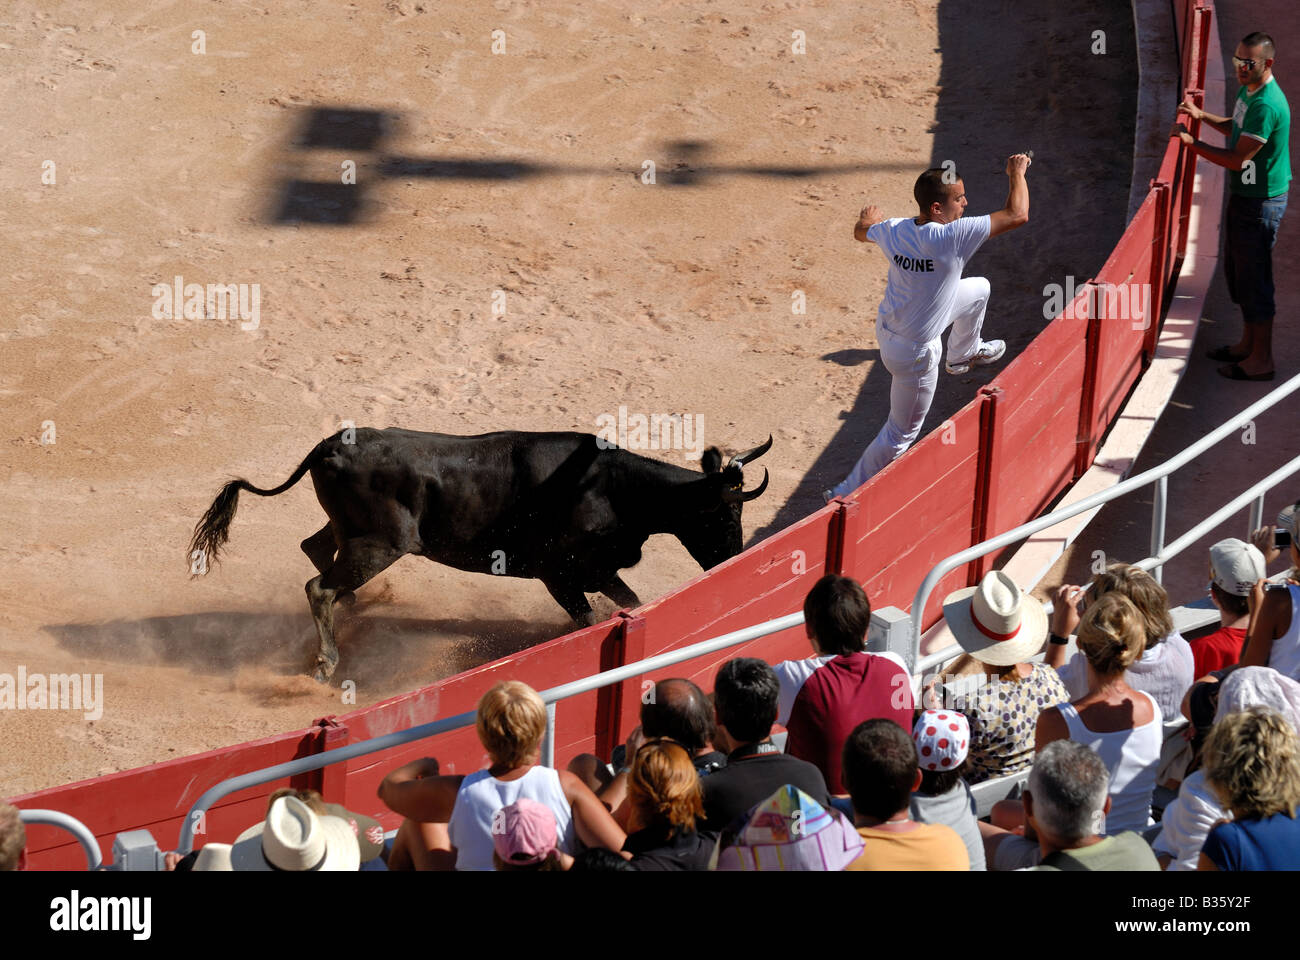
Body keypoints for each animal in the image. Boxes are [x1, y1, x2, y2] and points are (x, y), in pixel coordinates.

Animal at [189, 428, 771, 682]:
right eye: (724, 516)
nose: (731, 561)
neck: (611, 487)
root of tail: (330, 444)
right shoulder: (560, 575)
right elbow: (589, 619)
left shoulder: (594, 571)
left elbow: (629, 602)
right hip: (380, 544)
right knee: (319, 586)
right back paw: (327, 660)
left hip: (352, 534)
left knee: (315, 552)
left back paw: (356, 610)